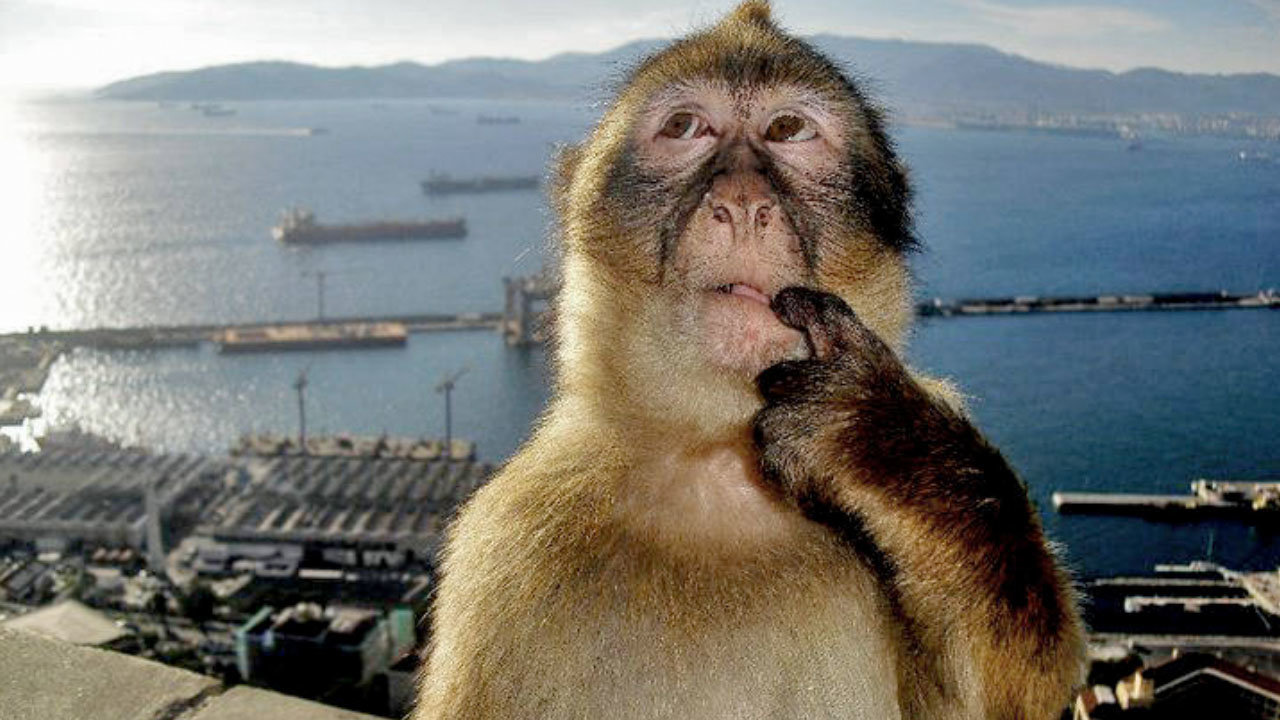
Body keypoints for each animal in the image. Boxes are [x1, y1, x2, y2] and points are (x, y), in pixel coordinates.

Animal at [414, 2, 1083, 718]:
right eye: (685, 127)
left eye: (788, 129)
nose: (740, 203)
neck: (718, 459)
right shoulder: (505, 551)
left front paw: (876, 436)